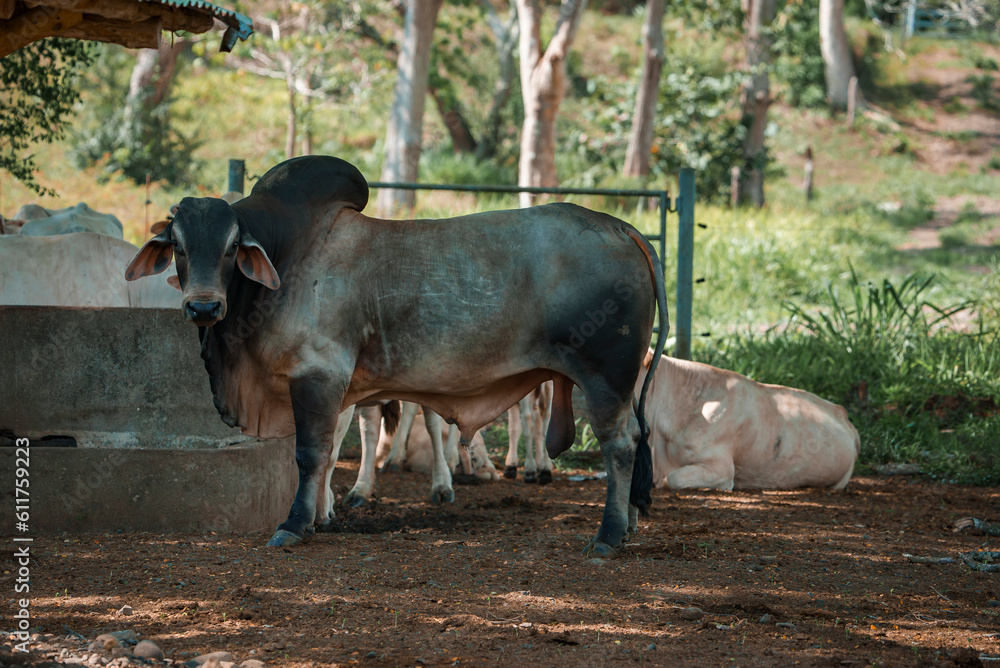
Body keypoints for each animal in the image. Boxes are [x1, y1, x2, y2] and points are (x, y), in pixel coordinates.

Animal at [125, 155, 667, 557]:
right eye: (177, 245)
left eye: (231, 246)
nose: (203, 306)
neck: (289, 256)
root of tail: (621, 226)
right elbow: (328, 451)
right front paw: (322, 514)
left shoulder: (318, 374)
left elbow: (311, 453)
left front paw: (296, 524)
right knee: (634, 438)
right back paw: (626, 526)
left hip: (607, 376)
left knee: (620, 445)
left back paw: (607, 536)